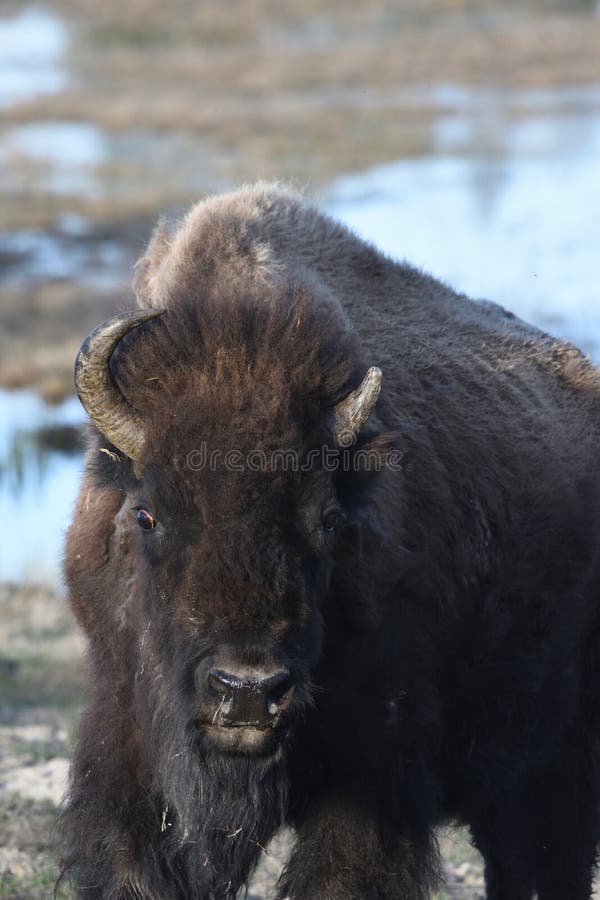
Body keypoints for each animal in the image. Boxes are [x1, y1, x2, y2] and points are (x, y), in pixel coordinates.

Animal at [58, 182, 600, 899]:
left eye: (328, 519)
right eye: (146, 515)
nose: (248, 692)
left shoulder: (371, 776)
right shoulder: (126, 751)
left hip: (556, 764)